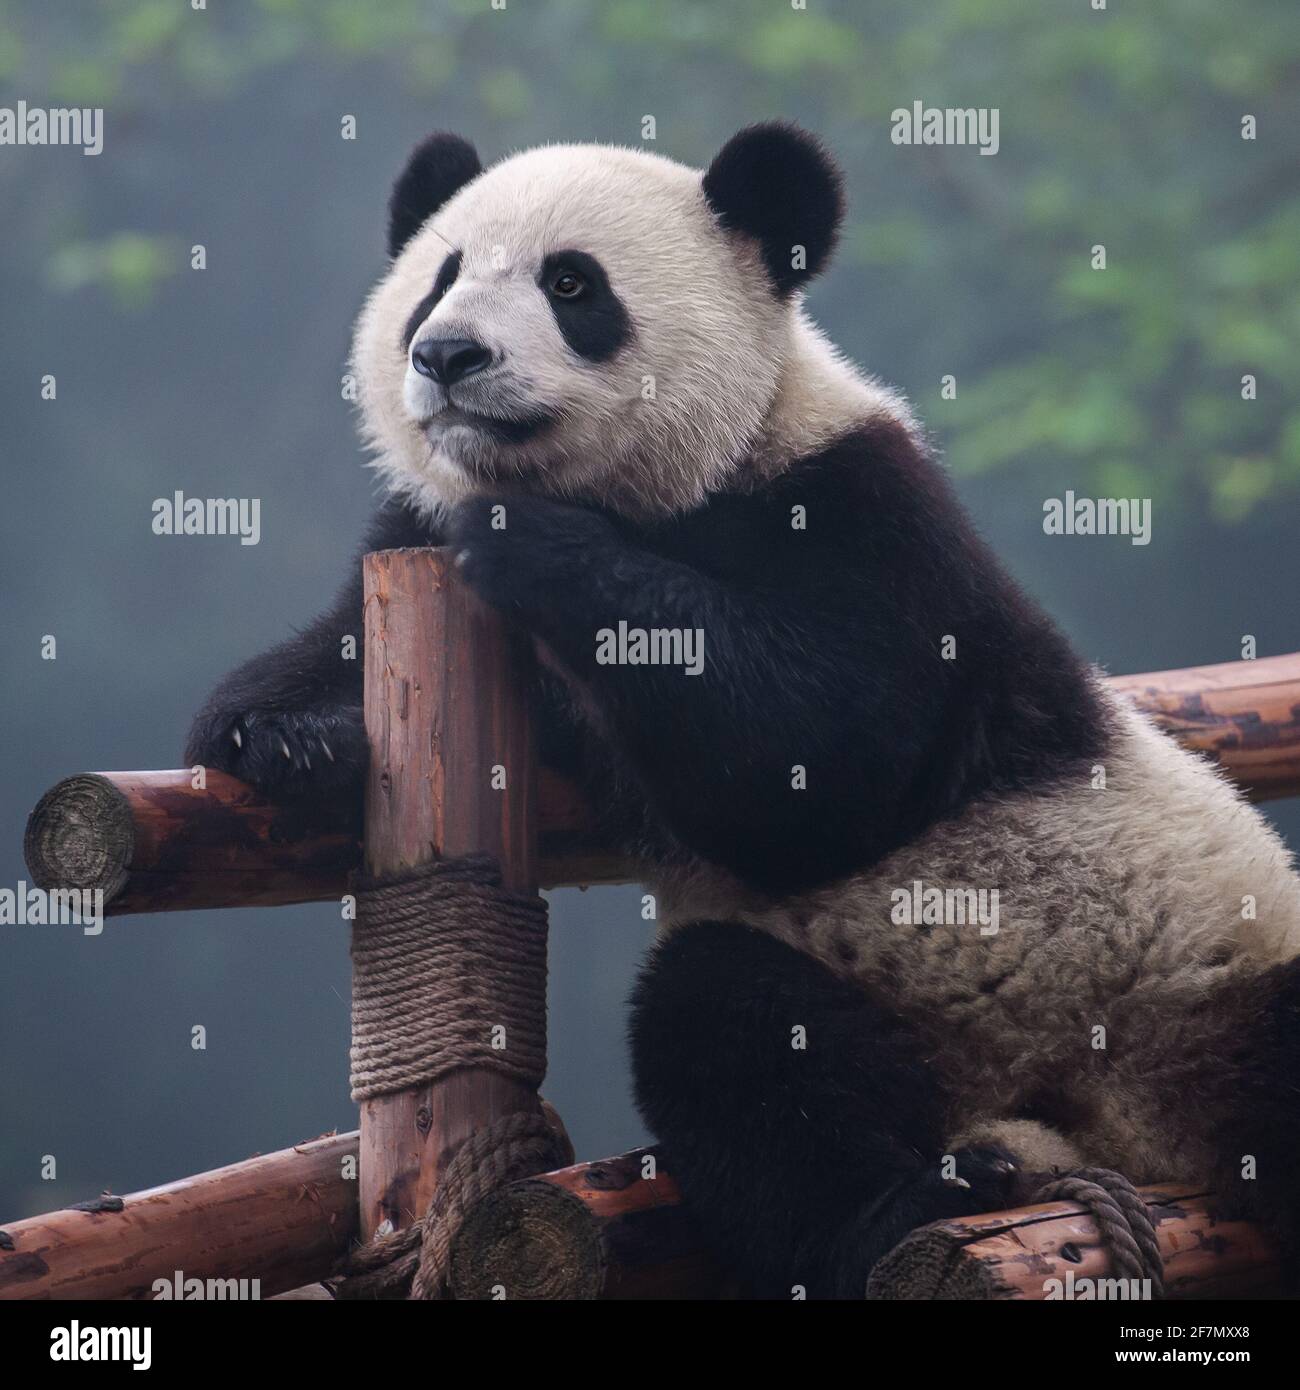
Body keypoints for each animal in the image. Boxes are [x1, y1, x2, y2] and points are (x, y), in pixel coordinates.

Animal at [186, 123, 1300, 1298]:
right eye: (438, 279)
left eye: (571, 284)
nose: (446, 355)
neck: (659, 489)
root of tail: (1123, 1136)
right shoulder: (417, 541)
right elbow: (331, 652)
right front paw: (292, 739)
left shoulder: (863, 507)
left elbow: (826, 757)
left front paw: (533, 545)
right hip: (882, 1015)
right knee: (739, 1032)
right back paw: (919, 1200)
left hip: (1210, 971)